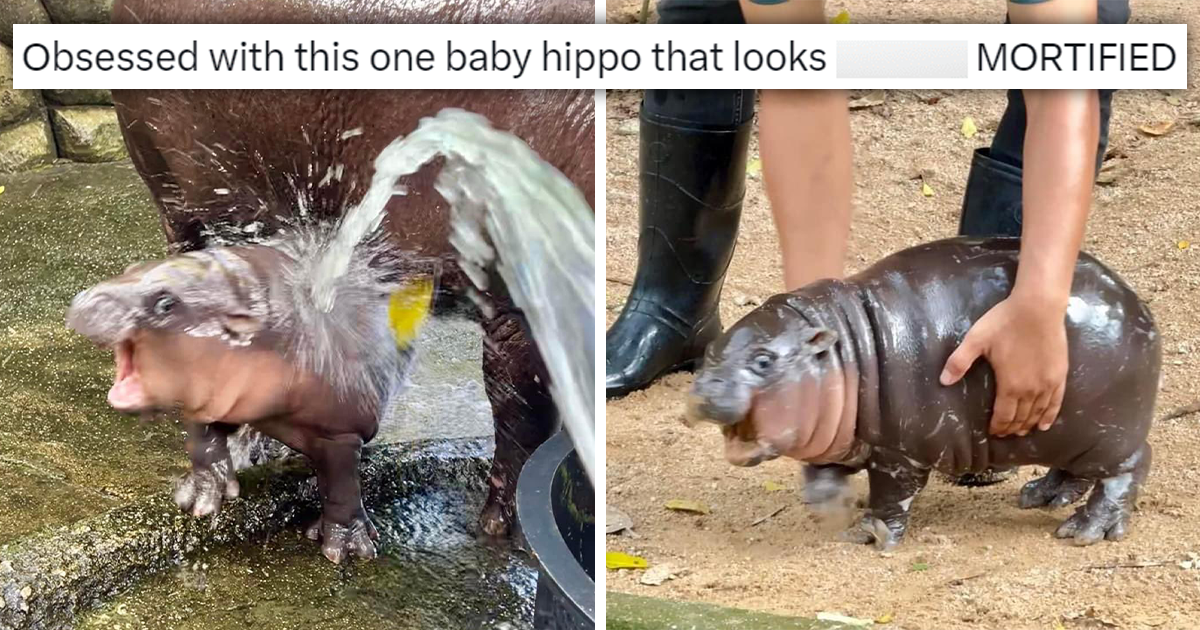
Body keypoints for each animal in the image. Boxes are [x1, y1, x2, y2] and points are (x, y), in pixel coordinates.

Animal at [687, 237, 1161, 549]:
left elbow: (891, 498)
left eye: (764, 360)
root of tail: (1137, 305)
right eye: (709, 351)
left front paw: (868, 533)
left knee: (1128, 468)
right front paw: (831, 508)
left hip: (1109, 433)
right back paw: (1040, 496)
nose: (704, 389)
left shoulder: (900, 456)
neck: (846, 349)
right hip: (1067, 432)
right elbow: (821, 472)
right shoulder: (835, 440)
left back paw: (1083, 532)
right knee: (1075, 471)